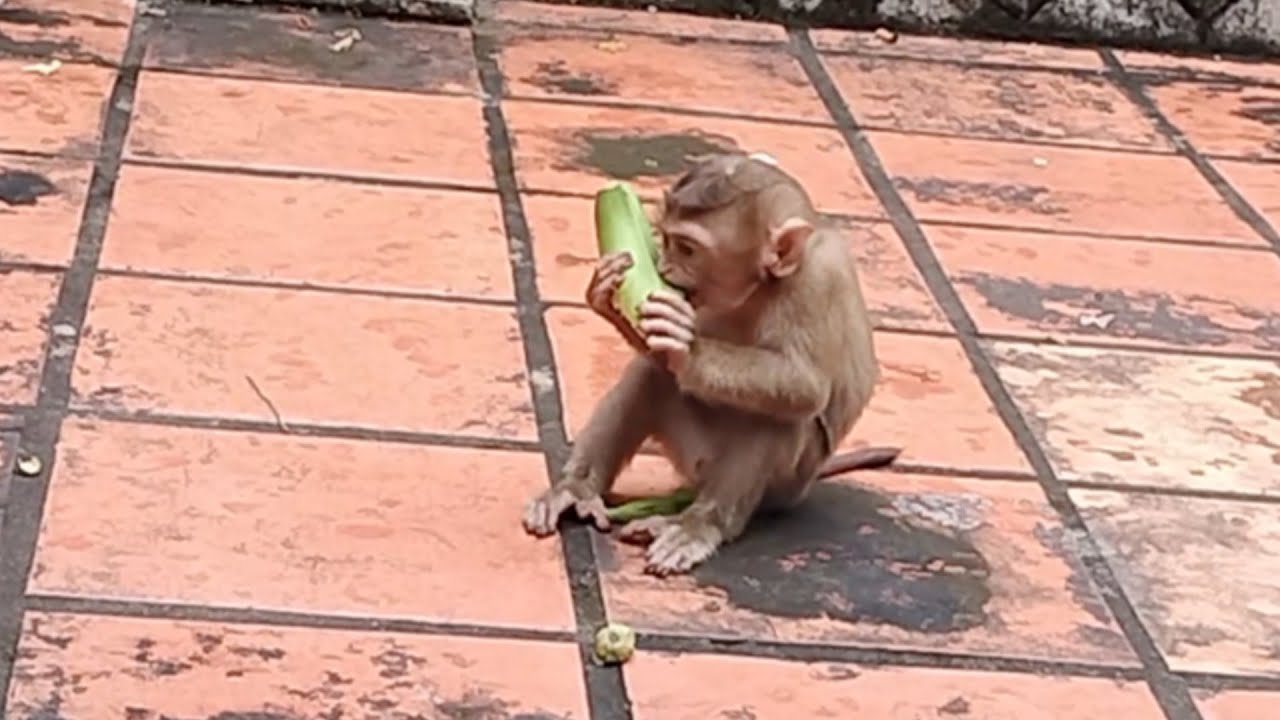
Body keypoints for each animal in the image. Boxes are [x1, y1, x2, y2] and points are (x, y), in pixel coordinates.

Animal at [523, 153, 898, 576]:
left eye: (688, 249)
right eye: (666, 239)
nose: (664, 270)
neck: (759, 286)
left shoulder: (817, 282)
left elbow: (806, 385)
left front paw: (689, 350)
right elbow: (656, 356)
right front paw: (608, 295)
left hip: (782, 489)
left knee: (779, 414)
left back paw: (699, 524)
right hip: (687, 451)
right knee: (651, 375)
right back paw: (576, 489)